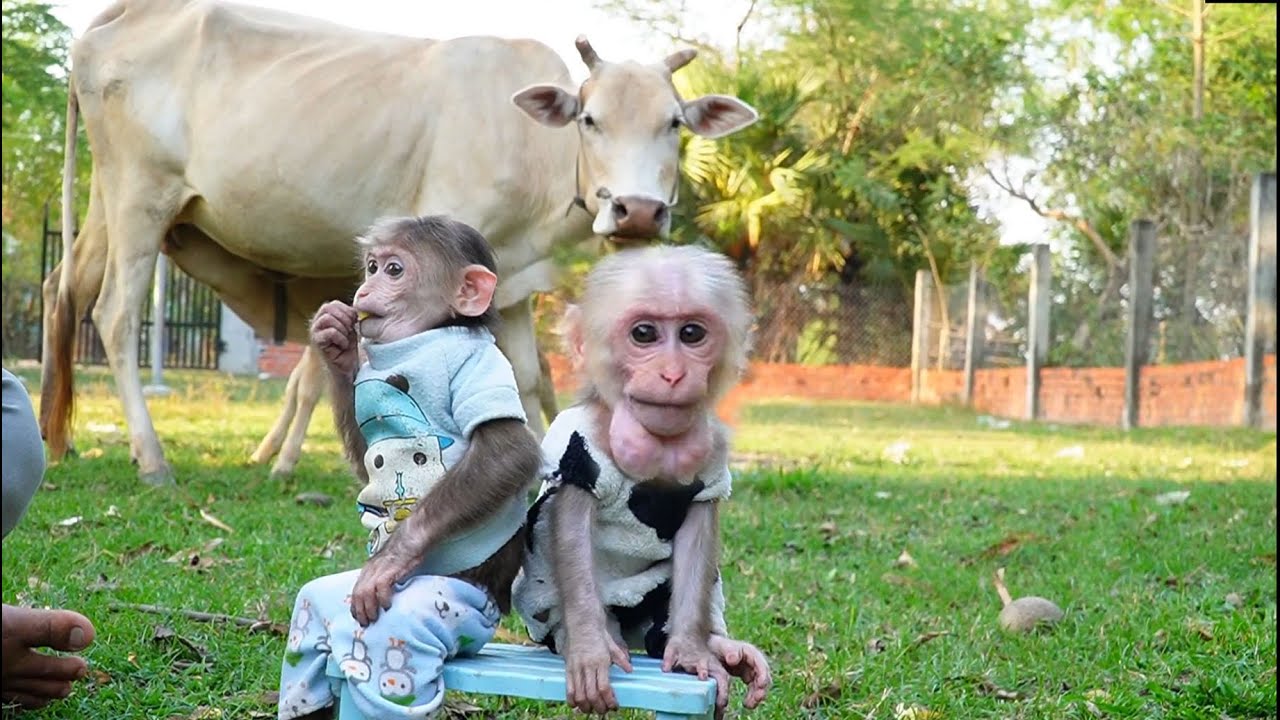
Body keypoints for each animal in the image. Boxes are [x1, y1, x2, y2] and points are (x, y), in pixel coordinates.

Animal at [40, 0, 758, 486]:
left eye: (674, 123)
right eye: (589, 119)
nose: (638, 211)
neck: (533, 147)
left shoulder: (513, 280)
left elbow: (527, 378)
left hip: (111, 203)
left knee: (61, 289)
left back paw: (57, 440)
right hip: (142, 197)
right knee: (114, 312)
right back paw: (152, 458)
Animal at [277, 215, 541, 720]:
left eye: (394, 270)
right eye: (372, 266)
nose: (364, 289)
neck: (421, 341)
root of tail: (495, 602)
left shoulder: (480, 364)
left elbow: (509, 452)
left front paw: (394, 556)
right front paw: (337, 344)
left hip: (450, 606)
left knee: (386, 652)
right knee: (311, 615)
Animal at [512, 244, 772, 718]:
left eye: (691, 334)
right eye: (645, 334)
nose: (672, 373)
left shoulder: (713, 449)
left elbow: (697, 531)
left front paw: (690, 647)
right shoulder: (580, 445)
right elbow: (569, 528)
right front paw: (589, 644)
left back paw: (720, 646)